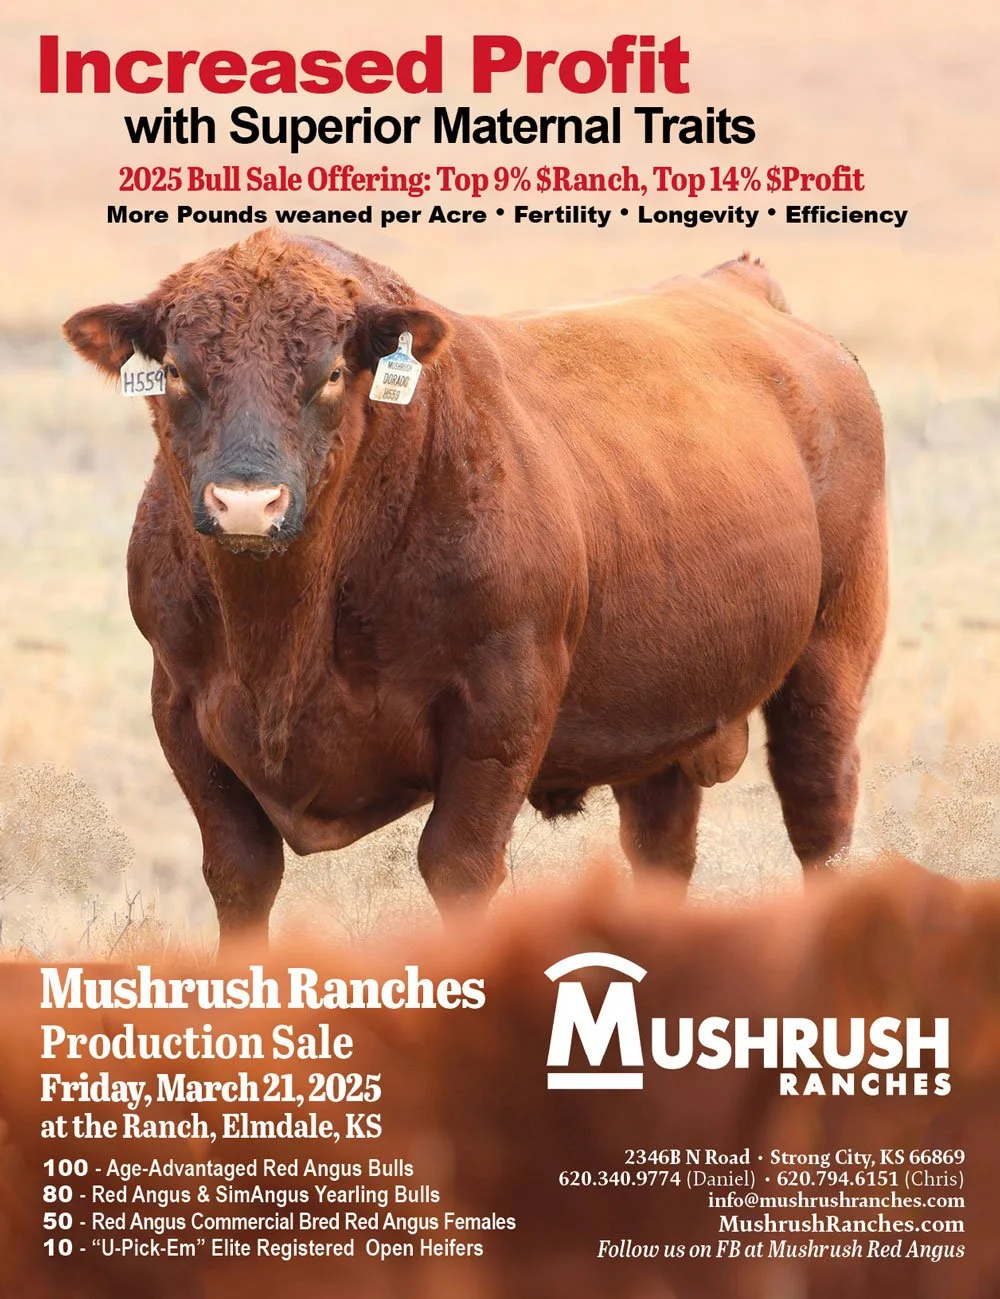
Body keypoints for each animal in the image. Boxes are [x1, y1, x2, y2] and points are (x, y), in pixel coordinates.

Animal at [63, 233, 887, 944]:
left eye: (331, 372)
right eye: (175, 370)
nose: (246, 502)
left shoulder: (502, 707)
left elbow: (456, 867)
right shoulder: (180, 705)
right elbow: (240, 873)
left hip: (831, 658)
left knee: (820, 812)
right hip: (661, 719)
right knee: (663, 847)